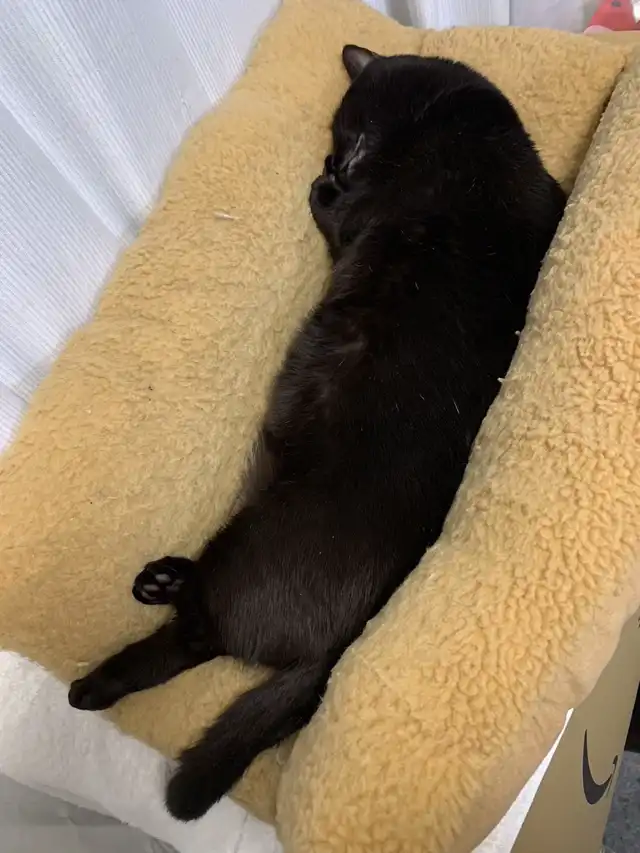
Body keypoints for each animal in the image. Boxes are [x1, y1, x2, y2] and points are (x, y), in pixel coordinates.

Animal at [68, 45, 566, 821]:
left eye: (350, 137)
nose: (336, 164)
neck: (467, 128)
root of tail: (344, 644)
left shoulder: (362, 213)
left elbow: (337, 217)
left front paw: (323, 191)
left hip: (250, 543)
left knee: (204, 632)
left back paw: (114, 653)